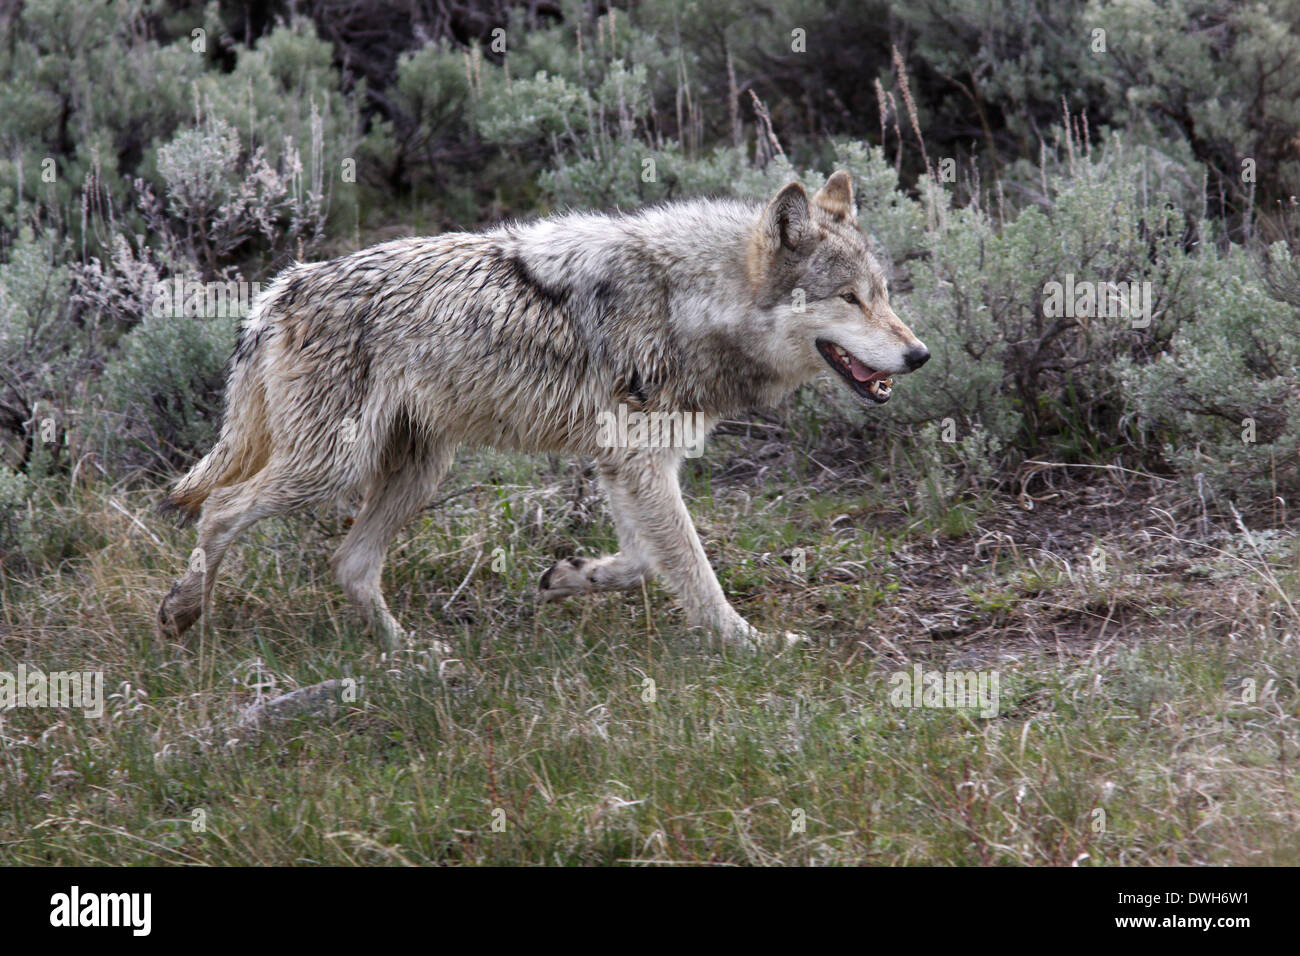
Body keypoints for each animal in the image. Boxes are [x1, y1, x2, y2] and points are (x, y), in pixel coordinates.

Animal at [156, 171, 929, 652]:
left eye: (885, 294)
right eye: (850, 299)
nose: (919, 354)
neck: (686, 300)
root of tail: (280, 290)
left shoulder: (630, 467)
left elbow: (646, 559)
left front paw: (570, 577)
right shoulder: (640, 466)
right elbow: (695, 571)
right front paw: (750, 645)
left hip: (415, 472)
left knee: (348, 561)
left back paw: (411, 653)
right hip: (331, 467)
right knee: (219, 509)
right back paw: (183, 610)